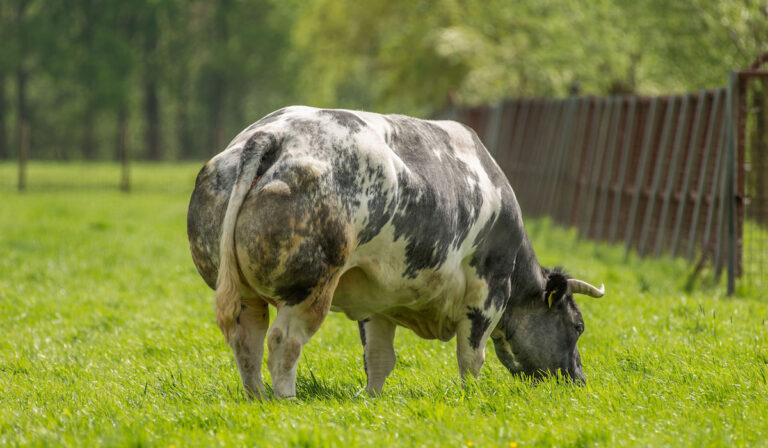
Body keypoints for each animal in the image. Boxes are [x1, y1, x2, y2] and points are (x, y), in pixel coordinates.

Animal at [187, 106, 605, 400]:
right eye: (578, 326)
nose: (580, 380)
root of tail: (272, 133)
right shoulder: (488, 292)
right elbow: (471, 357)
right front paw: (471, 397)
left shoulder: (377, 300)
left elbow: (379, 358)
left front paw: (372, 399)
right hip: (310, 287)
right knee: (283, 342)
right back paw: (285, 399)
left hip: (245, 293)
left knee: (247, 340)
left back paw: (257, 398)